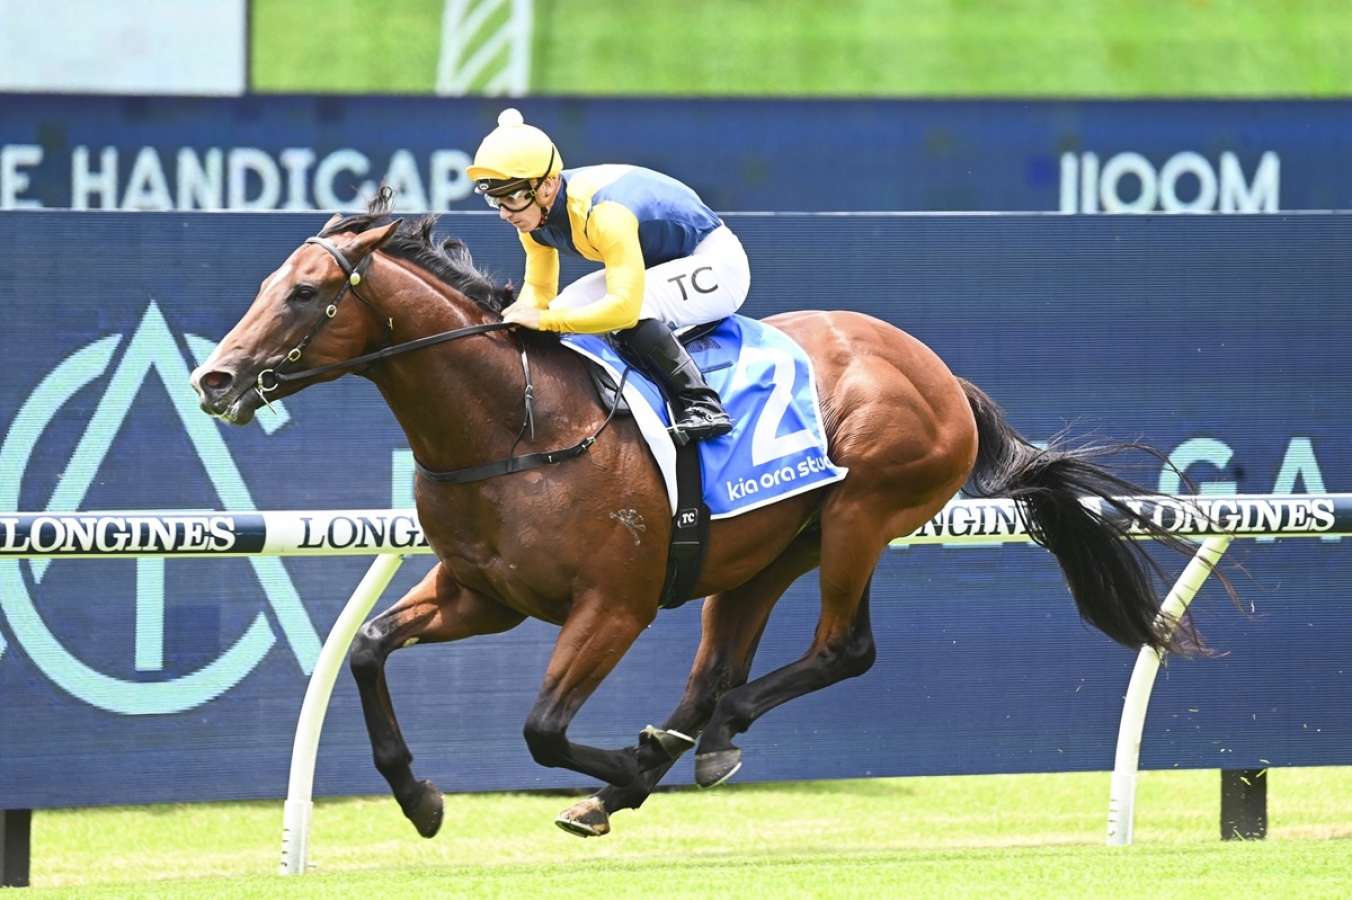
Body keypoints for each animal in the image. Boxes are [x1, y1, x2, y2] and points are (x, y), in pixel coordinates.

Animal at [190, 198, 1197, 839]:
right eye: (274, 282)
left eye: (306, 293)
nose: (215, 379)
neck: (516, 424)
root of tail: (939, 372)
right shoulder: (482, 595)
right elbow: (364, 650)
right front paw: (420, 798)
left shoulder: (613, 606)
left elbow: (542, 730)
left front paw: (625, 765)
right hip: (765, 553)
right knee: (720, 670)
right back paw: (661, 763)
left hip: (862, 514)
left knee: (839, 650)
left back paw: (688, 749)